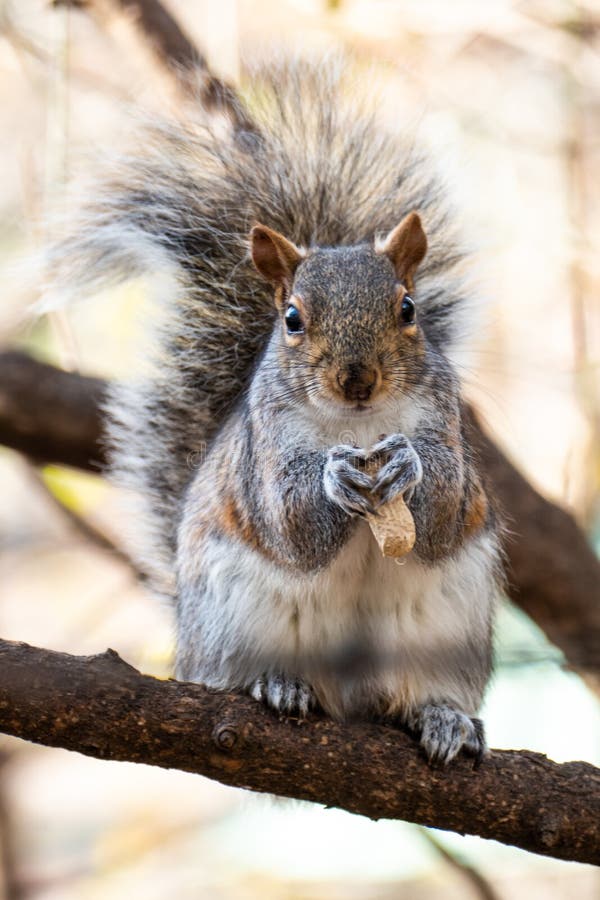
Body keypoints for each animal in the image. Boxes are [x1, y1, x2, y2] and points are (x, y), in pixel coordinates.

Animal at [46, 58, 502, 765]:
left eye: (408, 309)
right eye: (291, 319)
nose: (357, 379)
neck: (357, 425)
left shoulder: (445, 423)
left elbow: (444, 512)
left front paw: (407, 467)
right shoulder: (266, 449)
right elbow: (291, 524)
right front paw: (334, 478)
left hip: (446, 632)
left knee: (417, 691)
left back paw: (443, 717)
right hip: (234, 618)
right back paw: (277, 684)